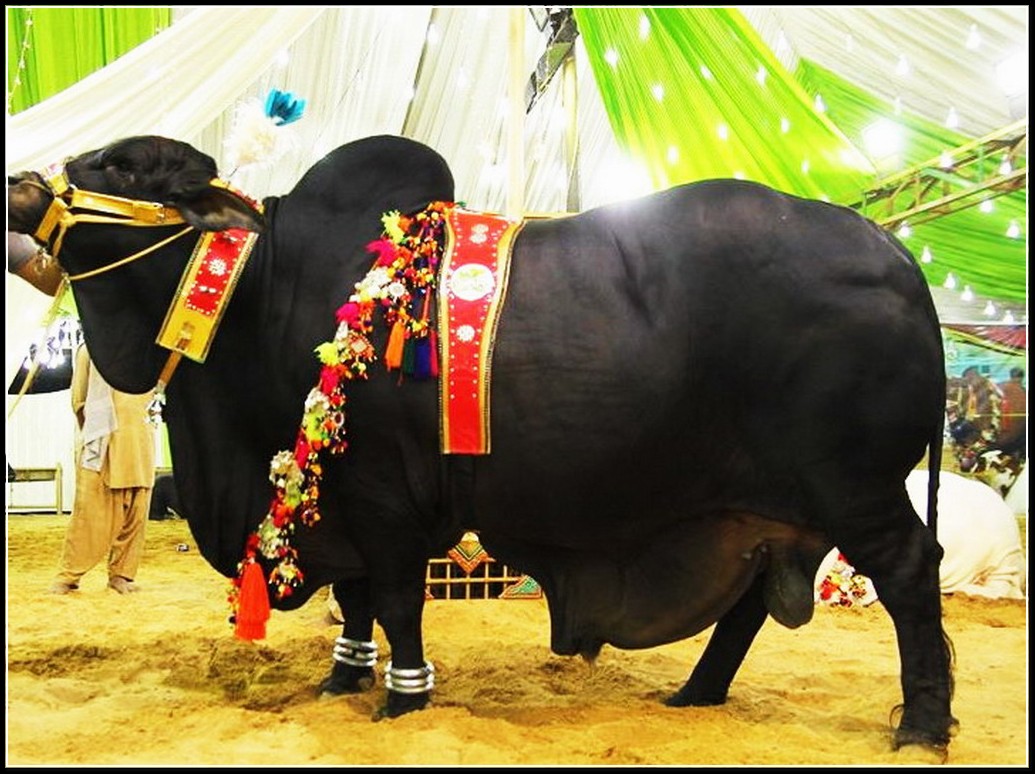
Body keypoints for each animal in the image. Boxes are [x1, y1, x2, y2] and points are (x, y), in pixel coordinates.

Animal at [8, 134, 955, 755]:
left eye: (123, 166)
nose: (22, 181)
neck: (266, 288)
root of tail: (895, 256)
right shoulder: (339, 504)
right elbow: (354, 603)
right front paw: (342, 680)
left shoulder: (382, 499)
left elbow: (394, 602)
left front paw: (402, 700)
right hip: (769, 510)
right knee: (753, 600)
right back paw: (693, 695)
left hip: (858, 490)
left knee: (910, 577)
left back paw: (921, 725)